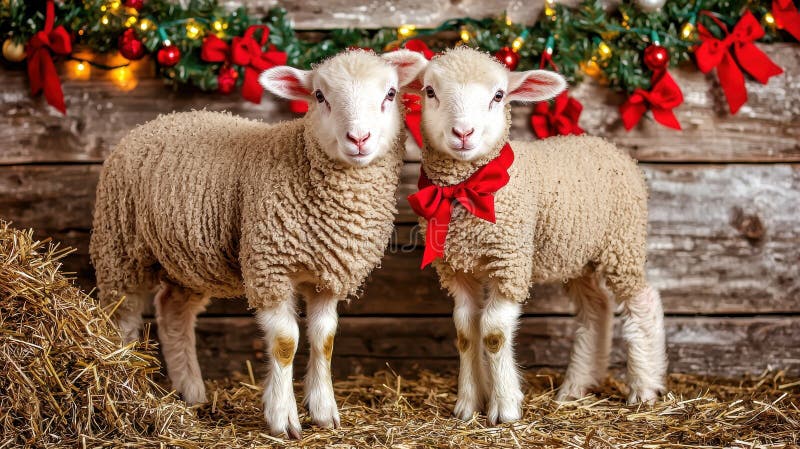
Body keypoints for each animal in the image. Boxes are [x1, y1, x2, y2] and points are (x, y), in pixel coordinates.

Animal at [89, 49, 428, 438]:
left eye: (390, 93)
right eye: (320, 96)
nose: (359, 138)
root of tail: (157, 121)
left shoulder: (329, 274)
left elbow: (324, 339)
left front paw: (324, 411)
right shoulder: (269, 266)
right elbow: (284, 342)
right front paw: (283, 418)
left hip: (187, 258)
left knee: (173, 311)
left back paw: (191, 391)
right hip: (120, 247)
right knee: (123, 317)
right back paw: (123, 378)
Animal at [408, 46, 667, 424]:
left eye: (498, 96)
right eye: (430, 91)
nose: (463, 132)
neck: (469, 190)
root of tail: (602, 143)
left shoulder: (510, 262)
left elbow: (493, 333)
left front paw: (504, 407)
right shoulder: (456, 268)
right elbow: (466, 332)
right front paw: (468, 405)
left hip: (623, 243)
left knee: (642, 302)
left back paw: (644, 386)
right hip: (577, 254)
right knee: (596, 309)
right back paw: (575, 387)